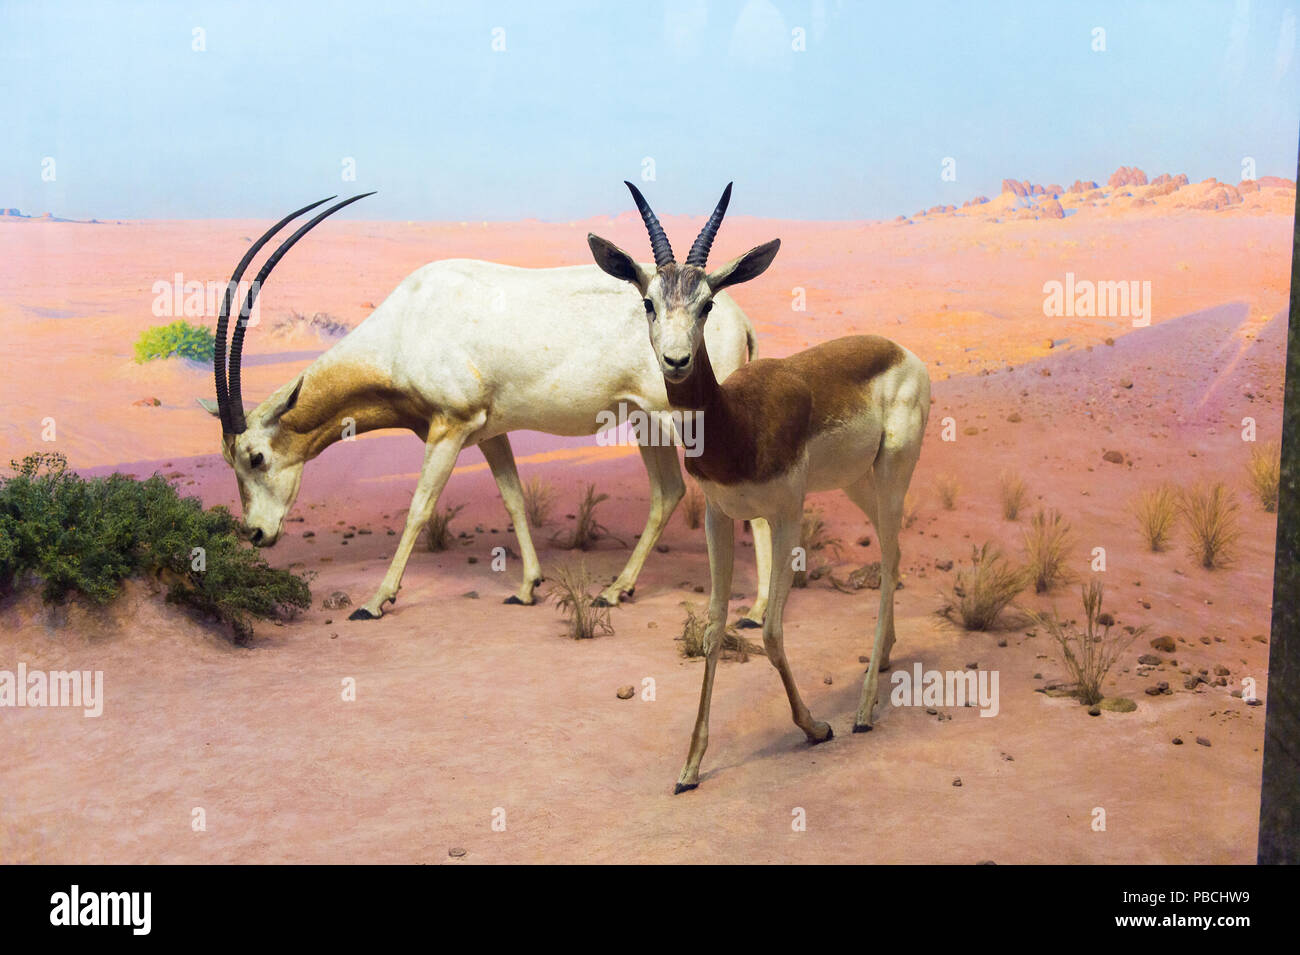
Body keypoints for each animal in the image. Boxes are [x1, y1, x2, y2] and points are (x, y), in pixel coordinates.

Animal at [203, 194, 776, 622]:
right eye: (231, 461)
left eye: (255, 457)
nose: (256, 534)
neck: (410, 320)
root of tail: (741, 319)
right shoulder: (487, 431)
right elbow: (514, 498)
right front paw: (526, 587)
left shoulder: (449, 428)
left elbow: (419, 507)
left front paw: (375, 600)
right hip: (645, 421)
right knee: (667, 492)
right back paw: (616, 590)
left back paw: (754, 612)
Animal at [588, 183, 931, 793]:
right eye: (649, 301)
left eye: (708, 303)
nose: (676, 361)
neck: (736, 422)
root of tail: (901, 351)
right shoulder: (719, 515)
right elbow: (715, 625)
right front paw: (690, 767)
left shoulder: (786, 514)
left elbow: (769, 630)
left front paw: (815, 727)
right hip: (856, 483)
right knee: (893, 554)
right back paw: (886, 660)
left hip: (894, 471)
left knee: (891, 559)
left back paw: (865, 708)